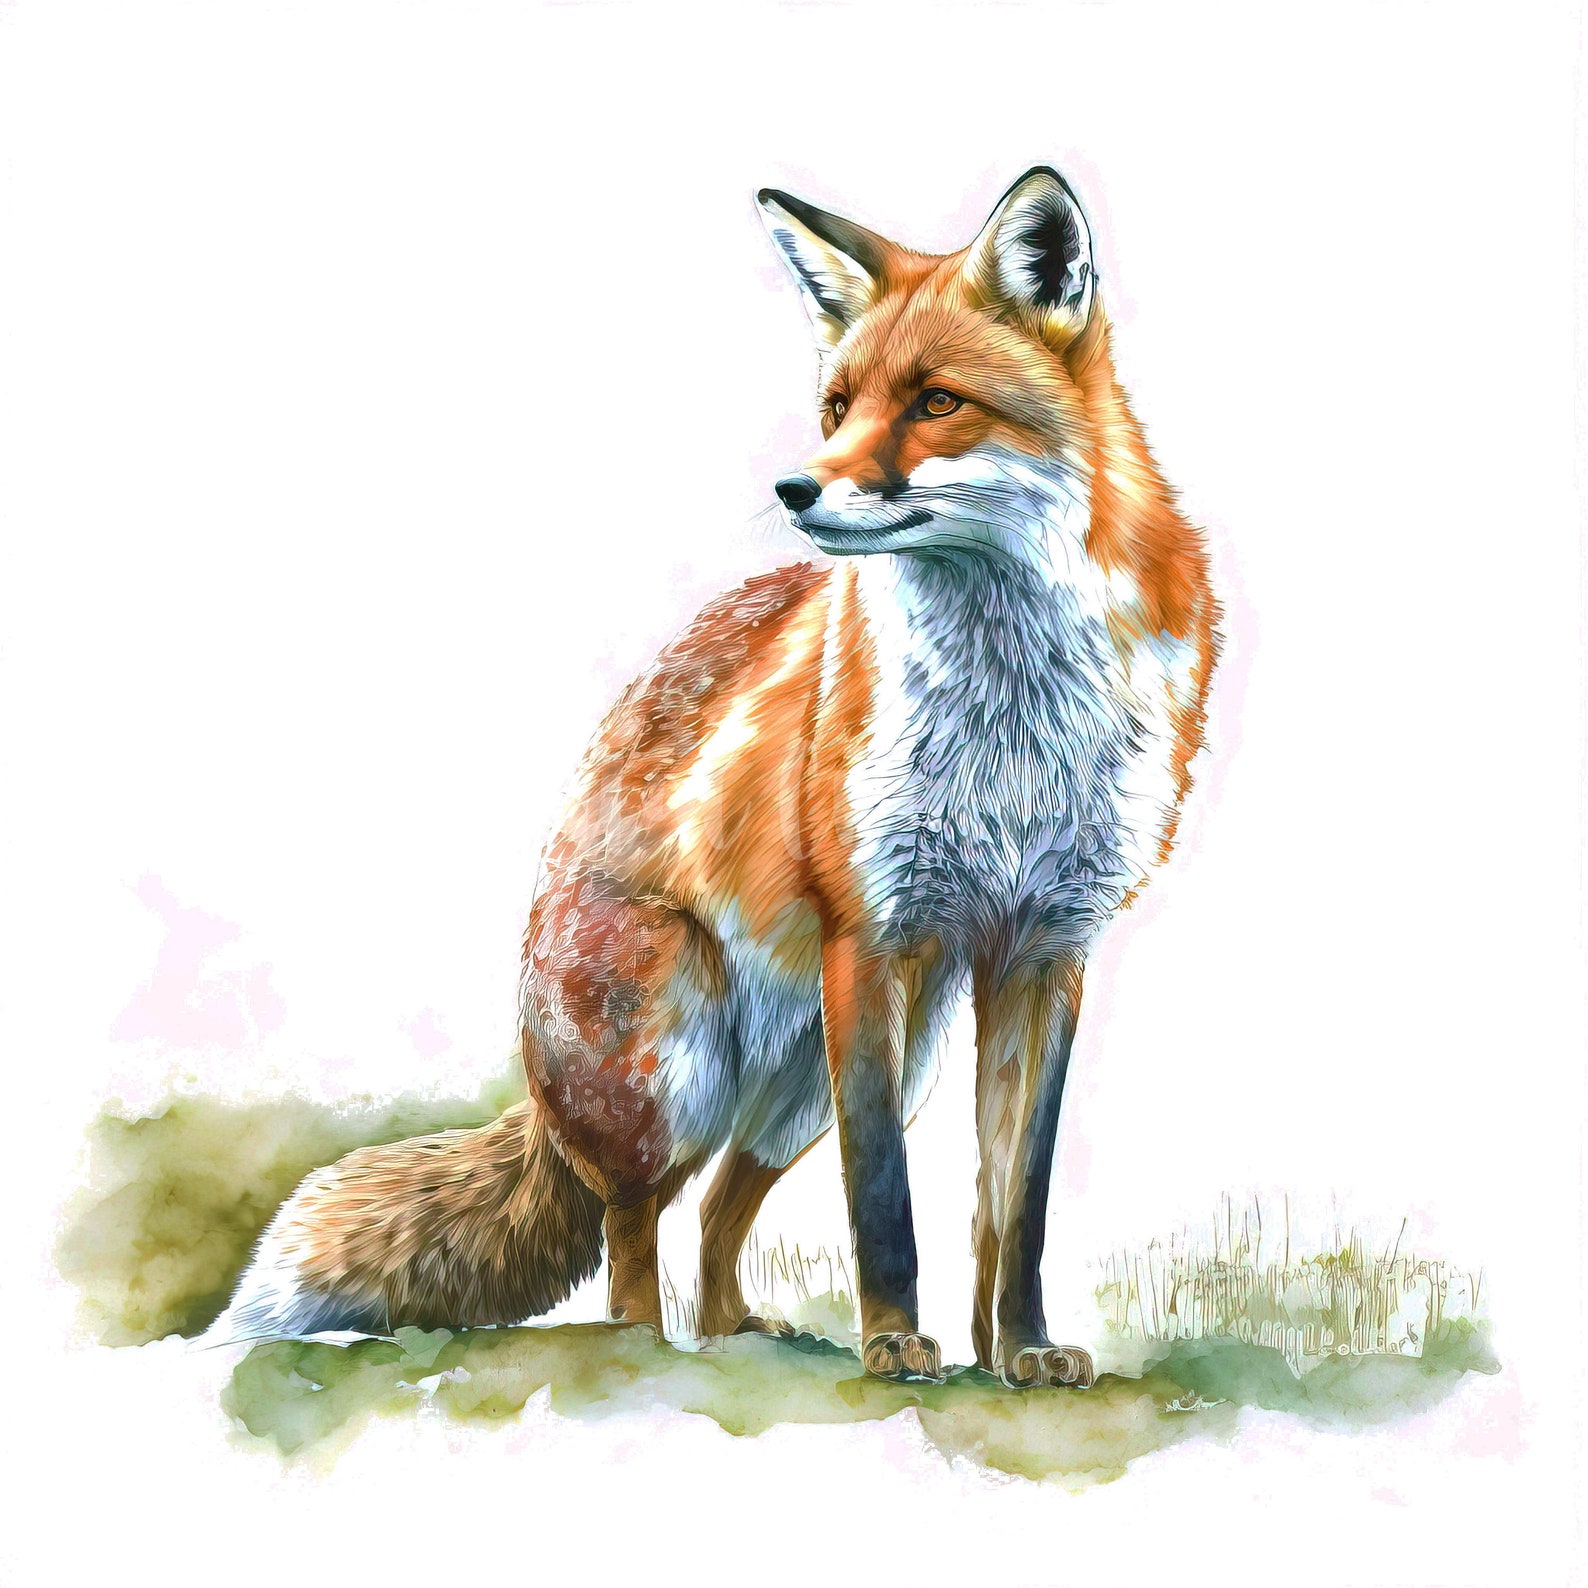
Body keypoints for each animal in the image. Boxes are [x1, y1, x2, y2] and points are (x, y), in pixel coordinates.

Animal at [209, 166, 1219, 1388]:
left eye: (936, 402)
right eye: (836, 405)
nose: (795, 488)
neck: (1012, 714)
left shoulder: (1045, 950)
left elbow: (1012, 1207)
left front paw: (1017, 1350)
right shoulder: (870, 938)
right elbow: (884, 1203)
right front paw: (894, 1342)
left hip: (832, 1075)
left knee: (718, 1207)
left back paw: (739, 1327)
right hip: (684, 1060)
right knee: (633, 1223)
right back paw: (645, 1345)